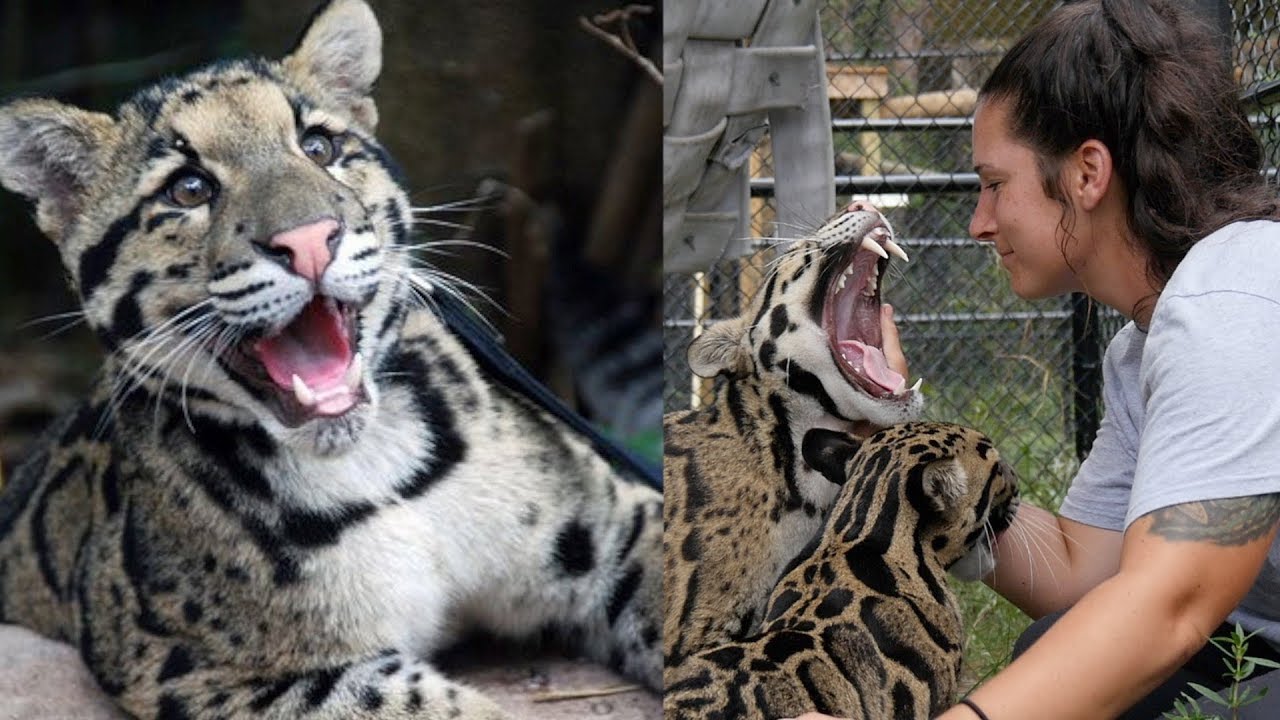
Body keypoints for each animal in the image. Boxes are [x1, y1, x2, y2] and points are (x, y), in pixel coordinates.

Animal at [0, 1, 662, 718]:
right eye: (188, 188)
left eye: (319, 147)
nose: (311, 240)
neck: (371, 460)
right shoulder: (196, 669)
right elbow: (427, 705)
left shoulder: (614, 522)